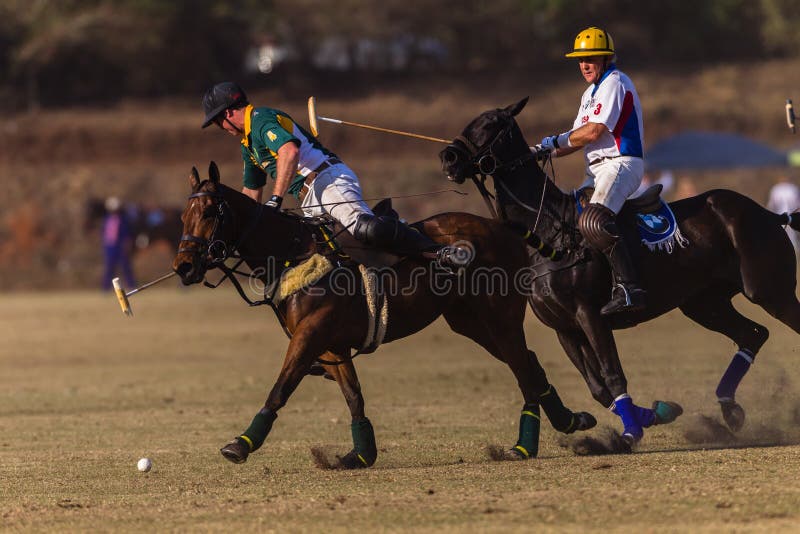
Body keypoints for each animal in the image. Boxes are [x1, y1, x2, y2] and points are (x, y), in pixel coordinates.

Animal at [171, 162, 597, 468]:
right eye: (182, 217)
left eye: (208, 212)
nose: (184, 267)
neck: (293, 251)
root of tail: (499, 225)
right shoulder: (332, 346)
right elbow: (353, 395)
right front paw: (361, 454)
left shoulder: (310, 335)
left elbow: (281, 388)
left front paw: (240, 444)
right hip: (470, 322)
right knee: (530, 362)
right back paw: (570, 421)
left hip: (501, 316)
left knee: (523, 367)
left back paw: (525, 445)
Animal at [440, 98, 800, 443]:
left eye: (490, 123)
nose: (448, 157)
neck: (549, 233)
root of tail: (769, 213)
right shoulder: (564, 328)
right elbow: (598, 388)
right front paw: (654, 414)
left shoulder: (590, 315)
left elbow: (613, 375)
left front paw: (631, 433)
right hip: (704, 304)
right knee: (753, 333)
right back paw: (730, 409)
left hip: (769, 290)